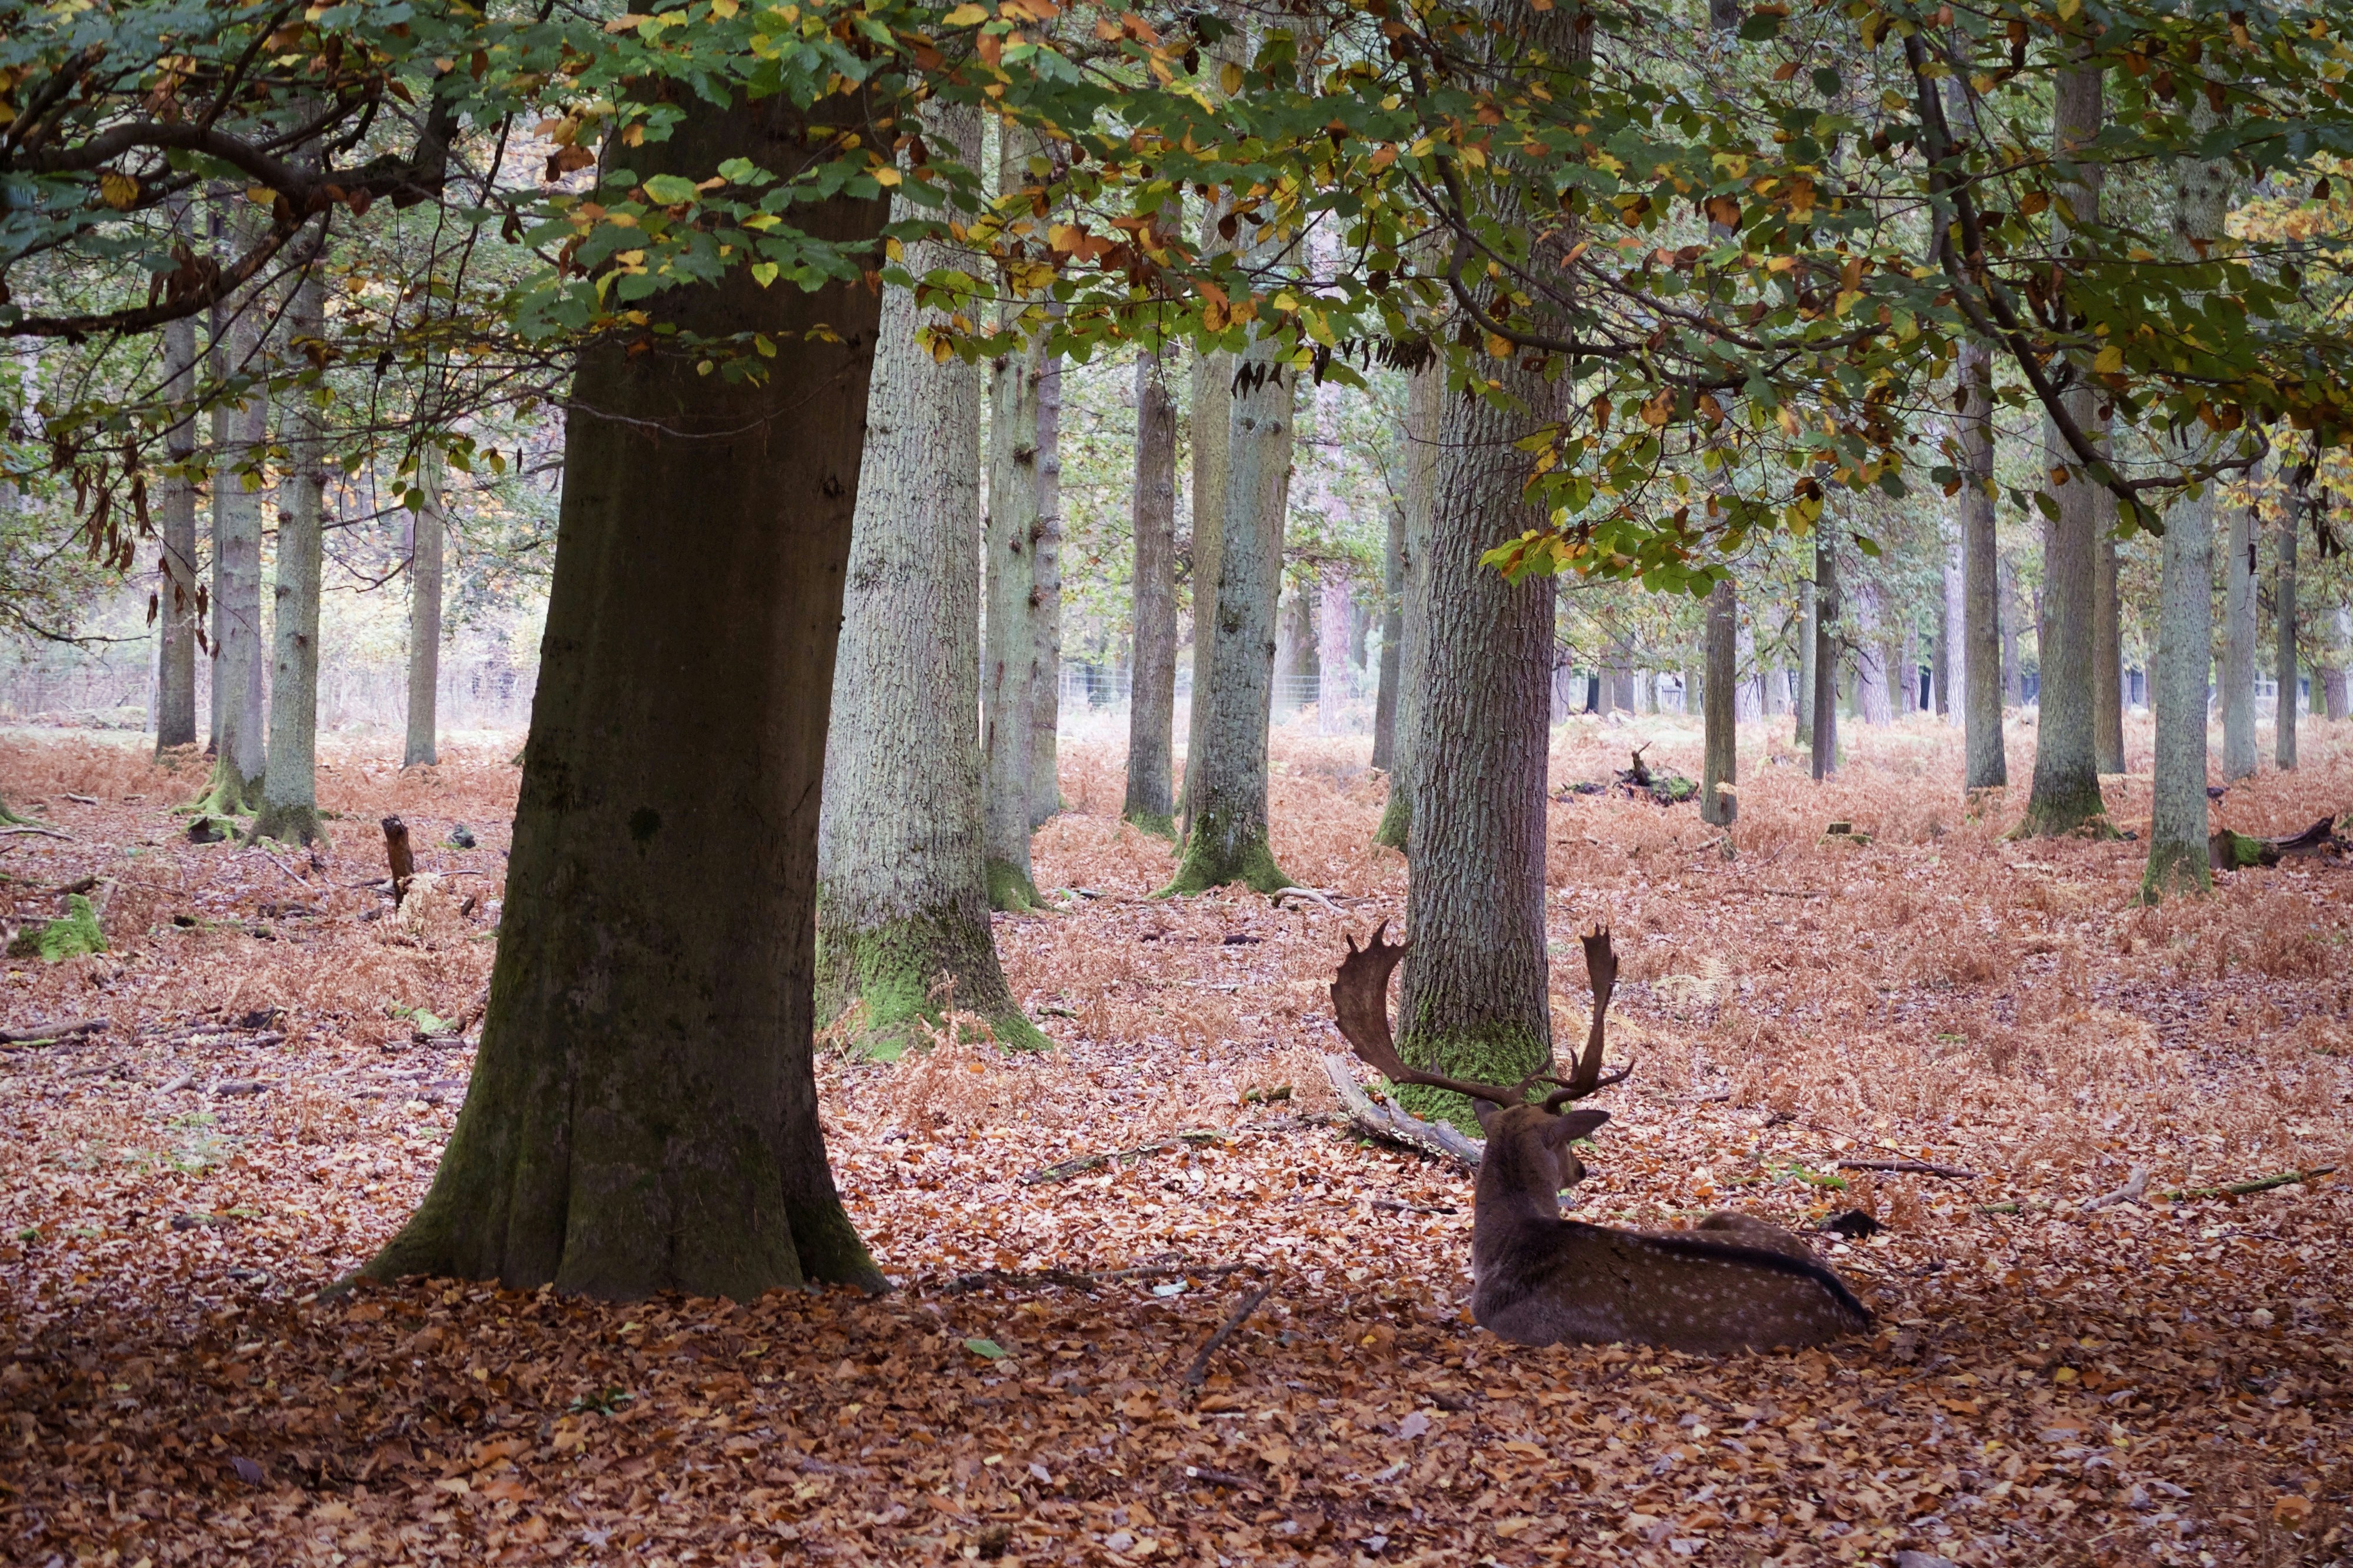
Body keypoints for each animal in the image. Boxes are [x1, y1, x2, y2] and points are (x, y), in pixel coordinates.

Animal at [1330, 923, 1869, 1354]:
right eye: (1566, 1145)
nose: (1582, 1169)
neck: (1507, 1248)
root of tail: (1855, 1310)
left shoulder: (1520, 1325)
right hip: (1730, 1219)